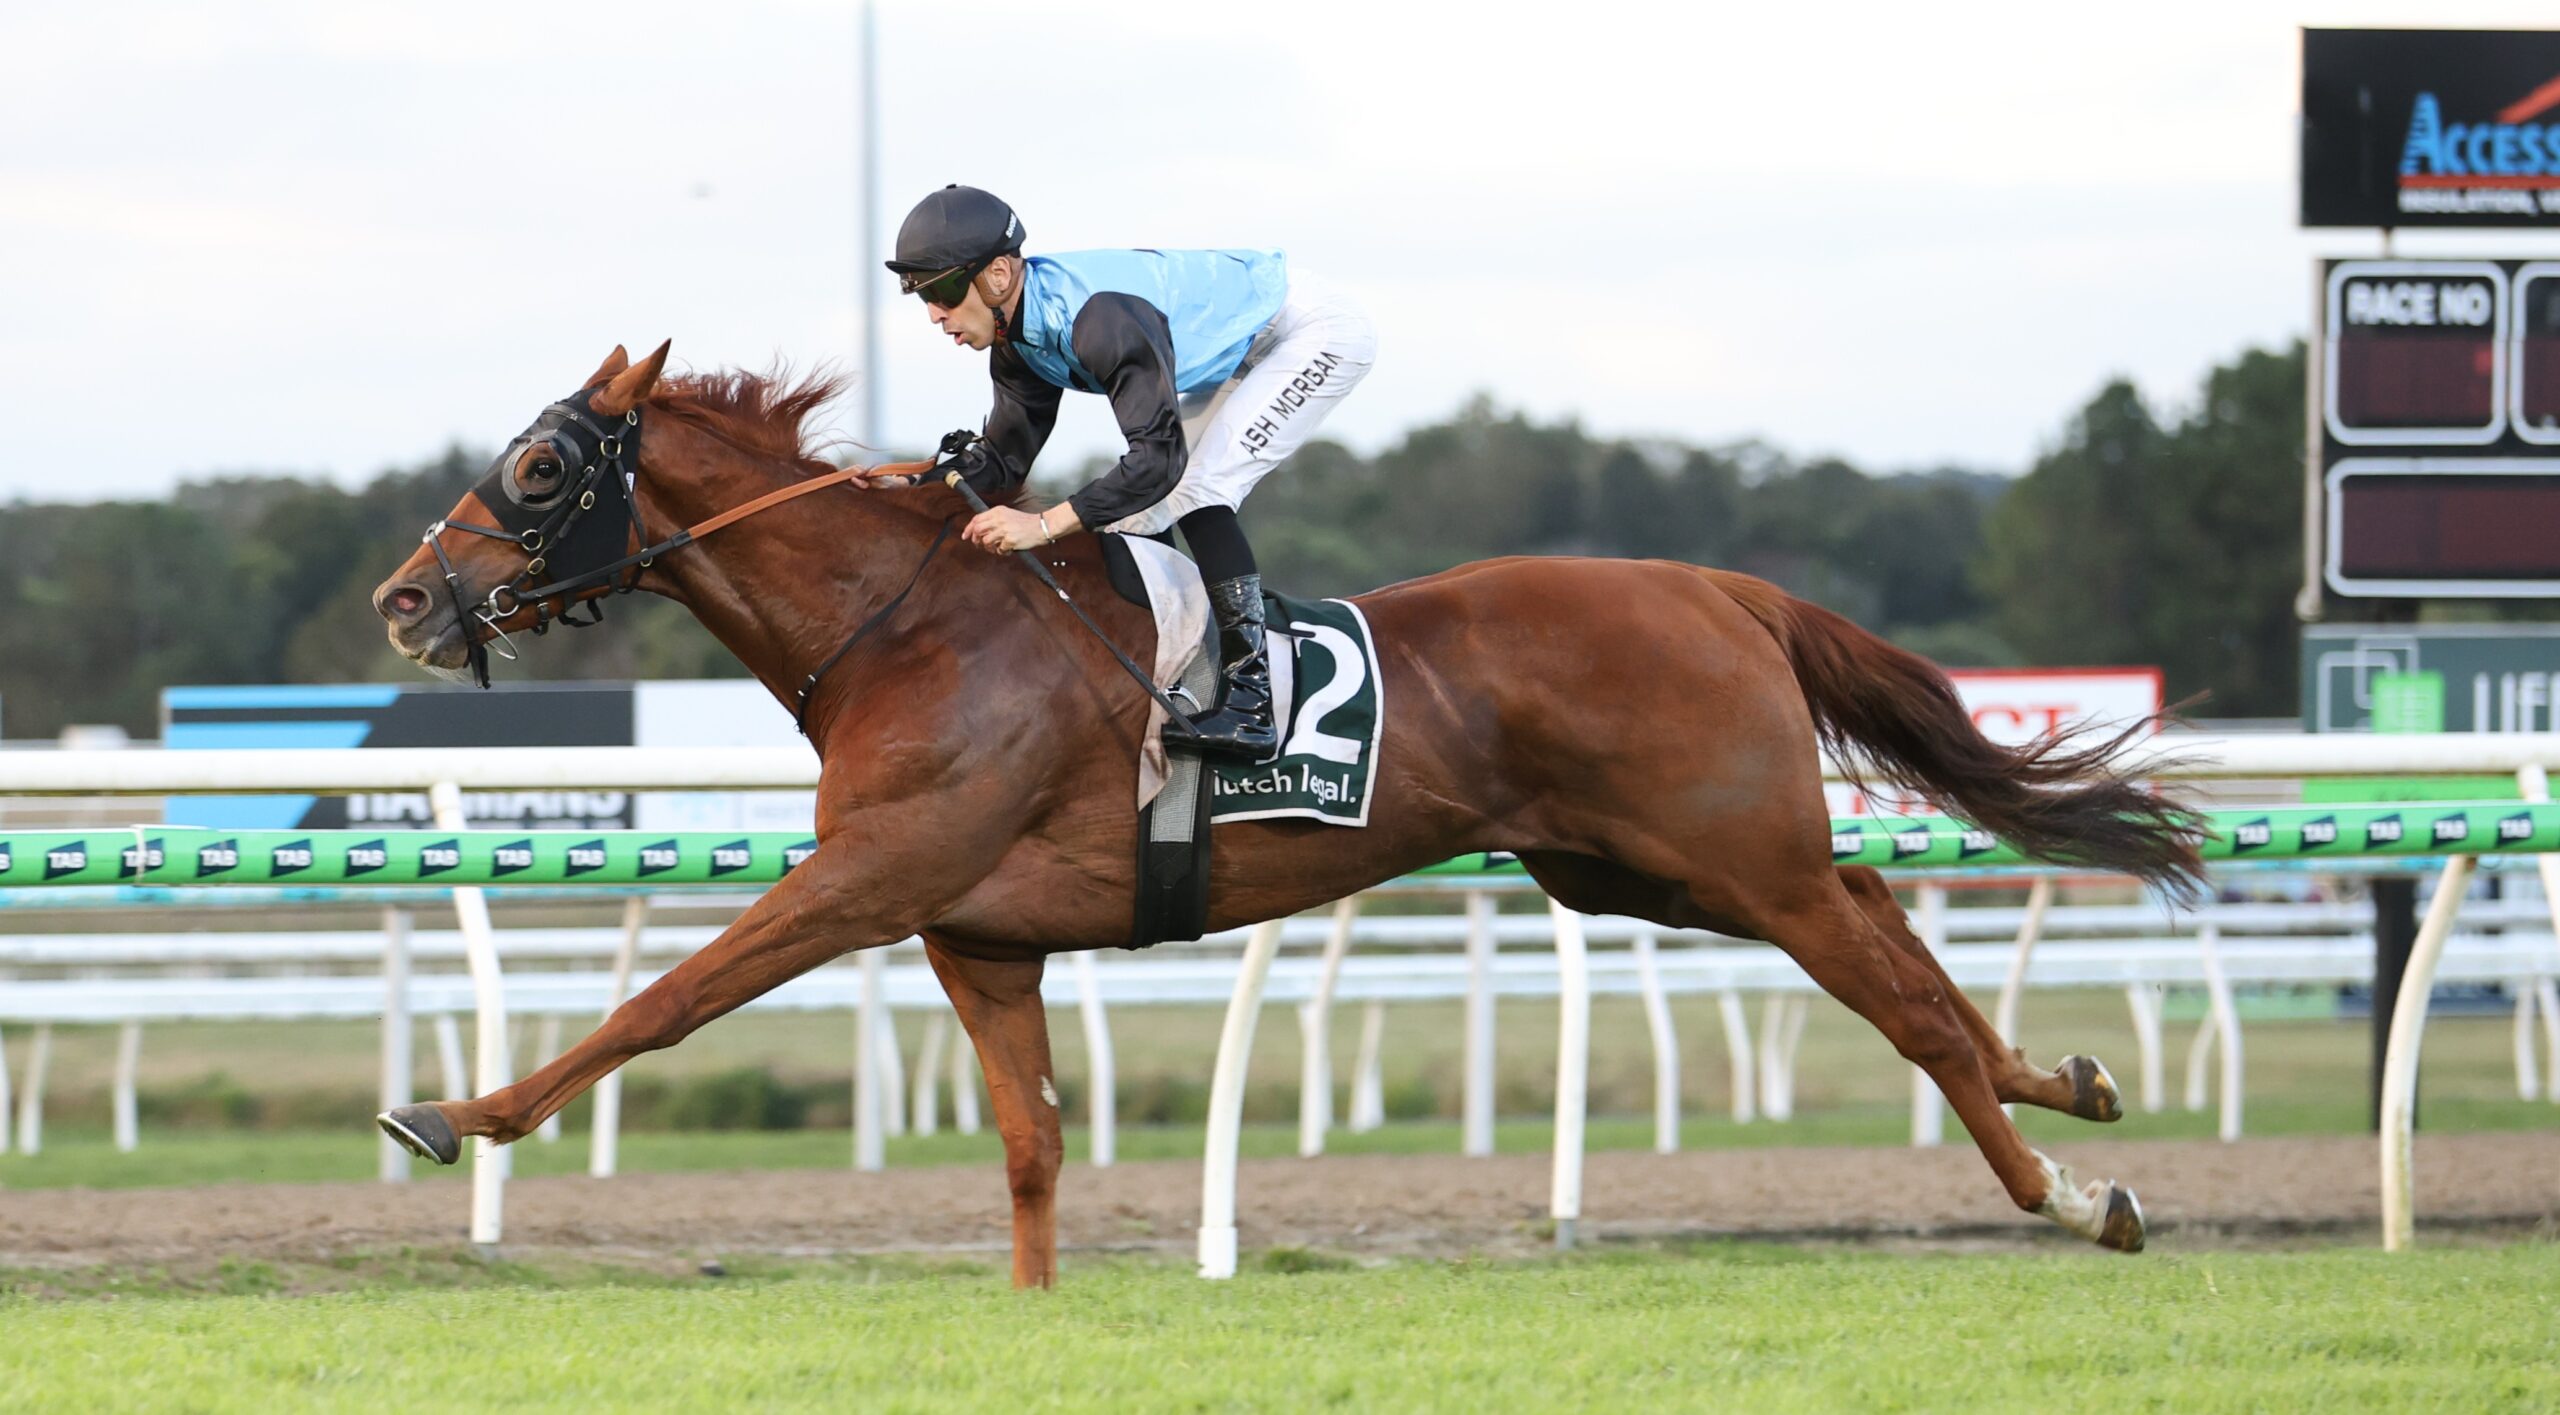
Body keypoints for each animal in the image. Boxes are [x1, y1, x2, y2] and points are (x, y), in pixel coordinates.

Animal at [371, 343, 2203, 1287]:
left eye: (541, 469)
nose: (402, 597)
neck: (907, 626)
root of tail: (1718, 584)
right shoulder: (976, 935)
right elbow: (1032, 1144)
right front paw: (1035, 1315)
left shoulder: (874, 873)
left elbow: (668, 999)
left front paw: (456, 1114)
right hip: (1640, 868)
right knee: (1896, 931)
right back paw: (2075, 1080)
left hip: (1730, 852)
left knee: (1911, 1012)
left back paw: (2066, 1188)